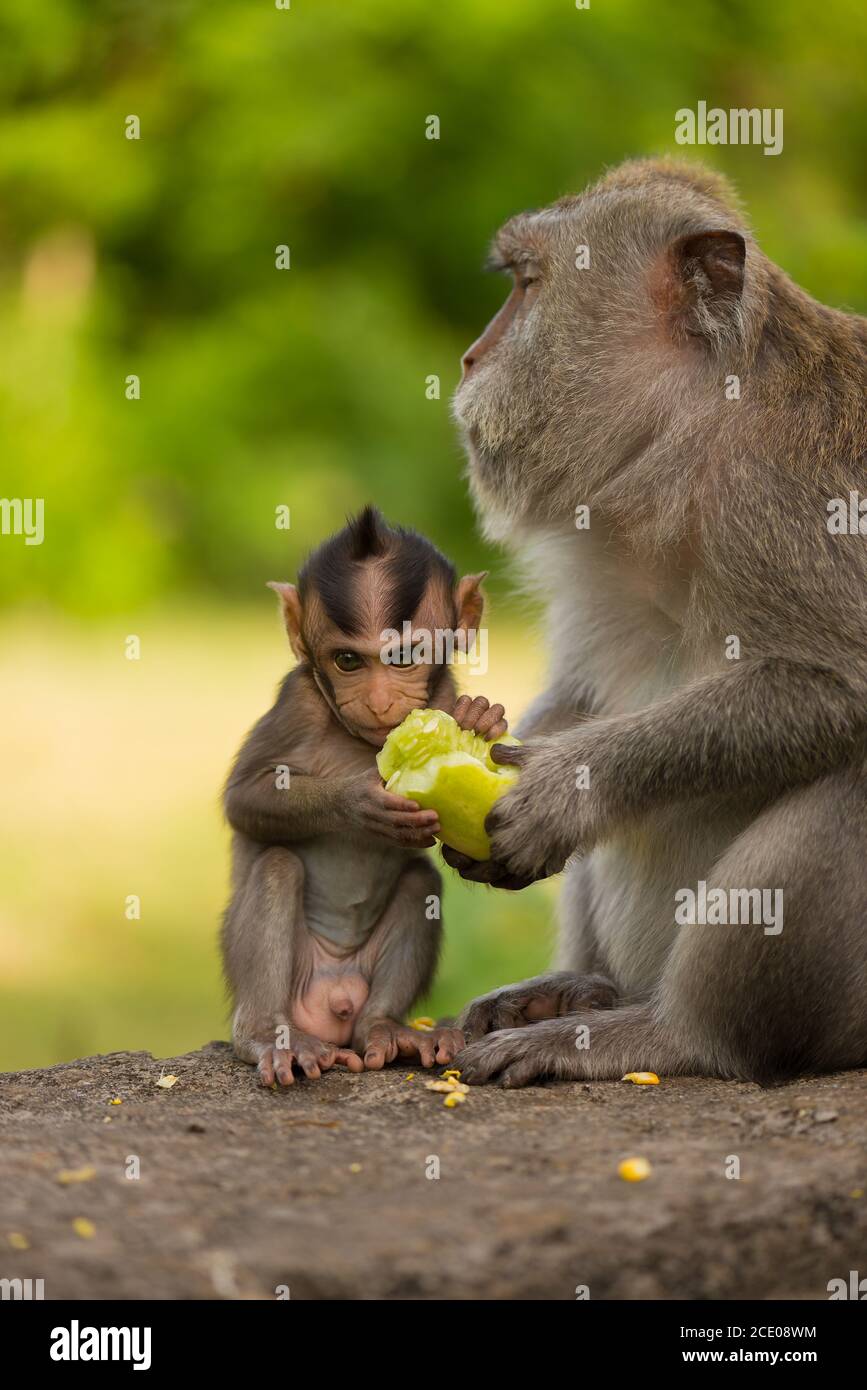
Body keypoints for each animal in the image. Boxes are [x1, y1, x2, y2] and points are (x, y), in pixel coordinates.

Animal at [221, 505, 509, 1086]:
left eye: (405, 657)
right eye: (348, 662)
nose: (377, 703)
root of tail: (331, 1000)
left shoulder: (440, 692)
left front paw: (482, 718)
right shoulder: (299, 703)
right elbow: (245, 799)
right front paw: (359, 803)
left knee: (420, 882)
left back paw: (385, 1029)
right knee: (277, 868)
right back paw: (268, 1035)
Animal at [445, 157, 867, 1088]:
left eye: (526, 285)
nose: (467, 357)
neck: (699, 435)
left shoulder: (782, 494)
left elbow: (841, 689)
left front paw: (567, 787)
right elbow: (579, 690)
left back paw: (675, 1035)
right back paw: (579, 989)